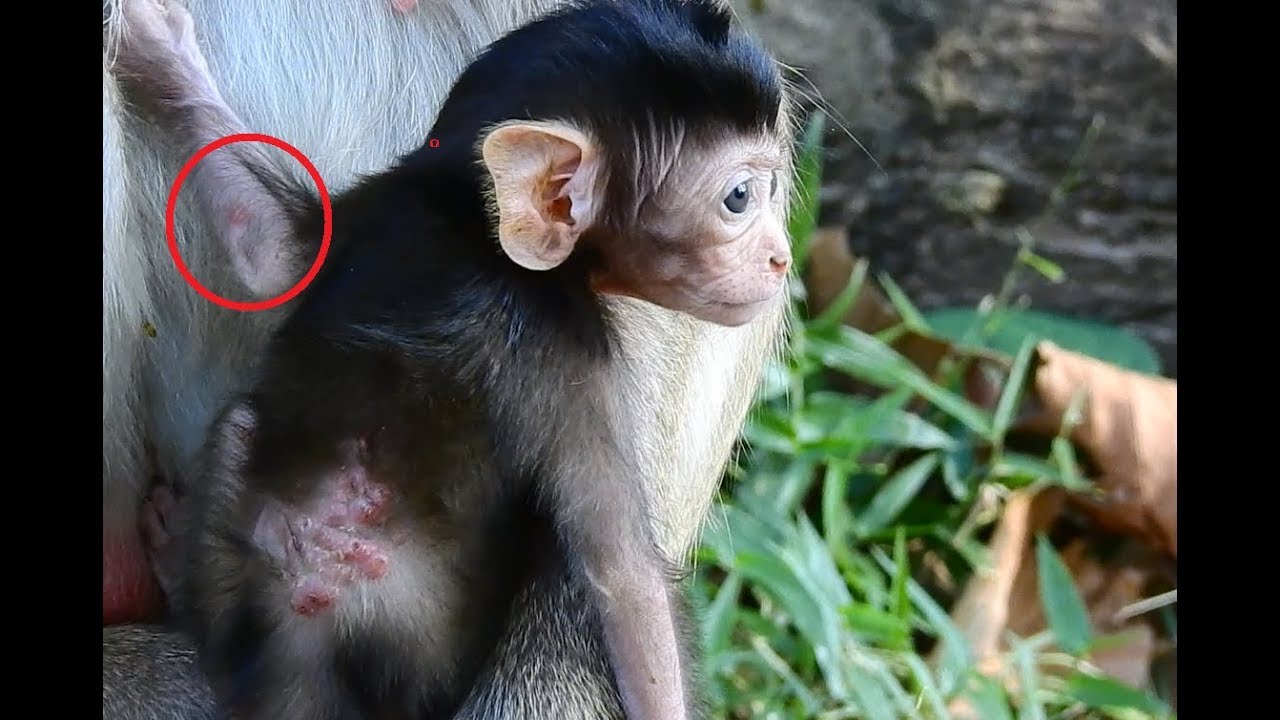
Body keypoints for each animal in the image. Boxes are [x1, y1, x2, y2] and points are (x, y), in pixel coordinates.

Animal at [102, 0, 794, 716]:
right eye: (740, 197)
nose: (780, 259)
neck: (472, 220)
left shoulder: (377, 210)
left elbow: (270, 250)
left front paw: (161, 64)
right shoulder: (575, 350)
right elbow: (622, 573)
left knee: (242, 431)